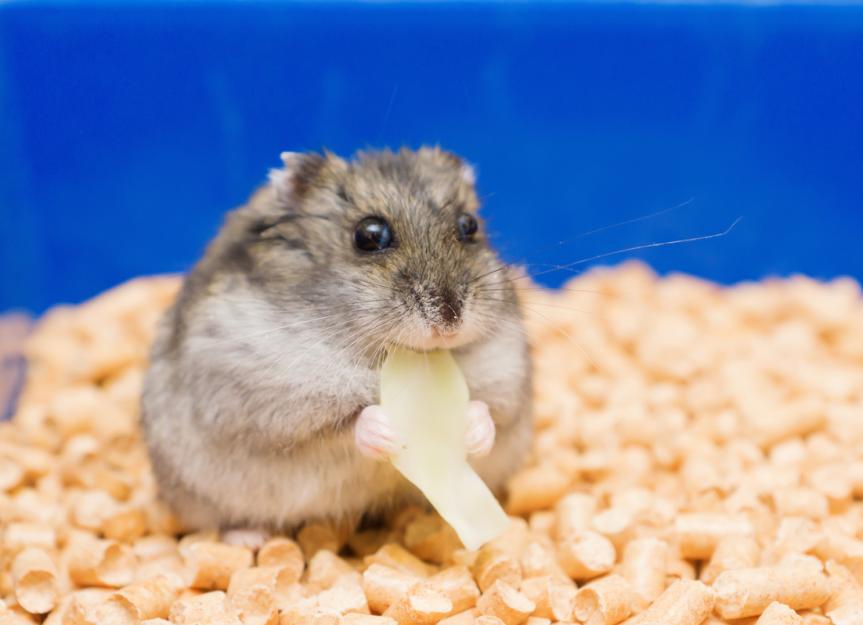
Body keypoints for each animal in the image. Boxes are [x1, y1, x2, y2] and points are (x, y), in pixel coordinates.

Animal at [140, 147, 532, 544]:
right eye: (369, 235)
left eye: (469, 225)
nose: (450, 318)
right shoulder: (272, 404)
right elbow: (343, 426)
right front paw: (385, 429)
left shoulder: (507, 382)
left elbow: (492, 415)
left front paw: (473, 429)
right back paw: (248, 538)